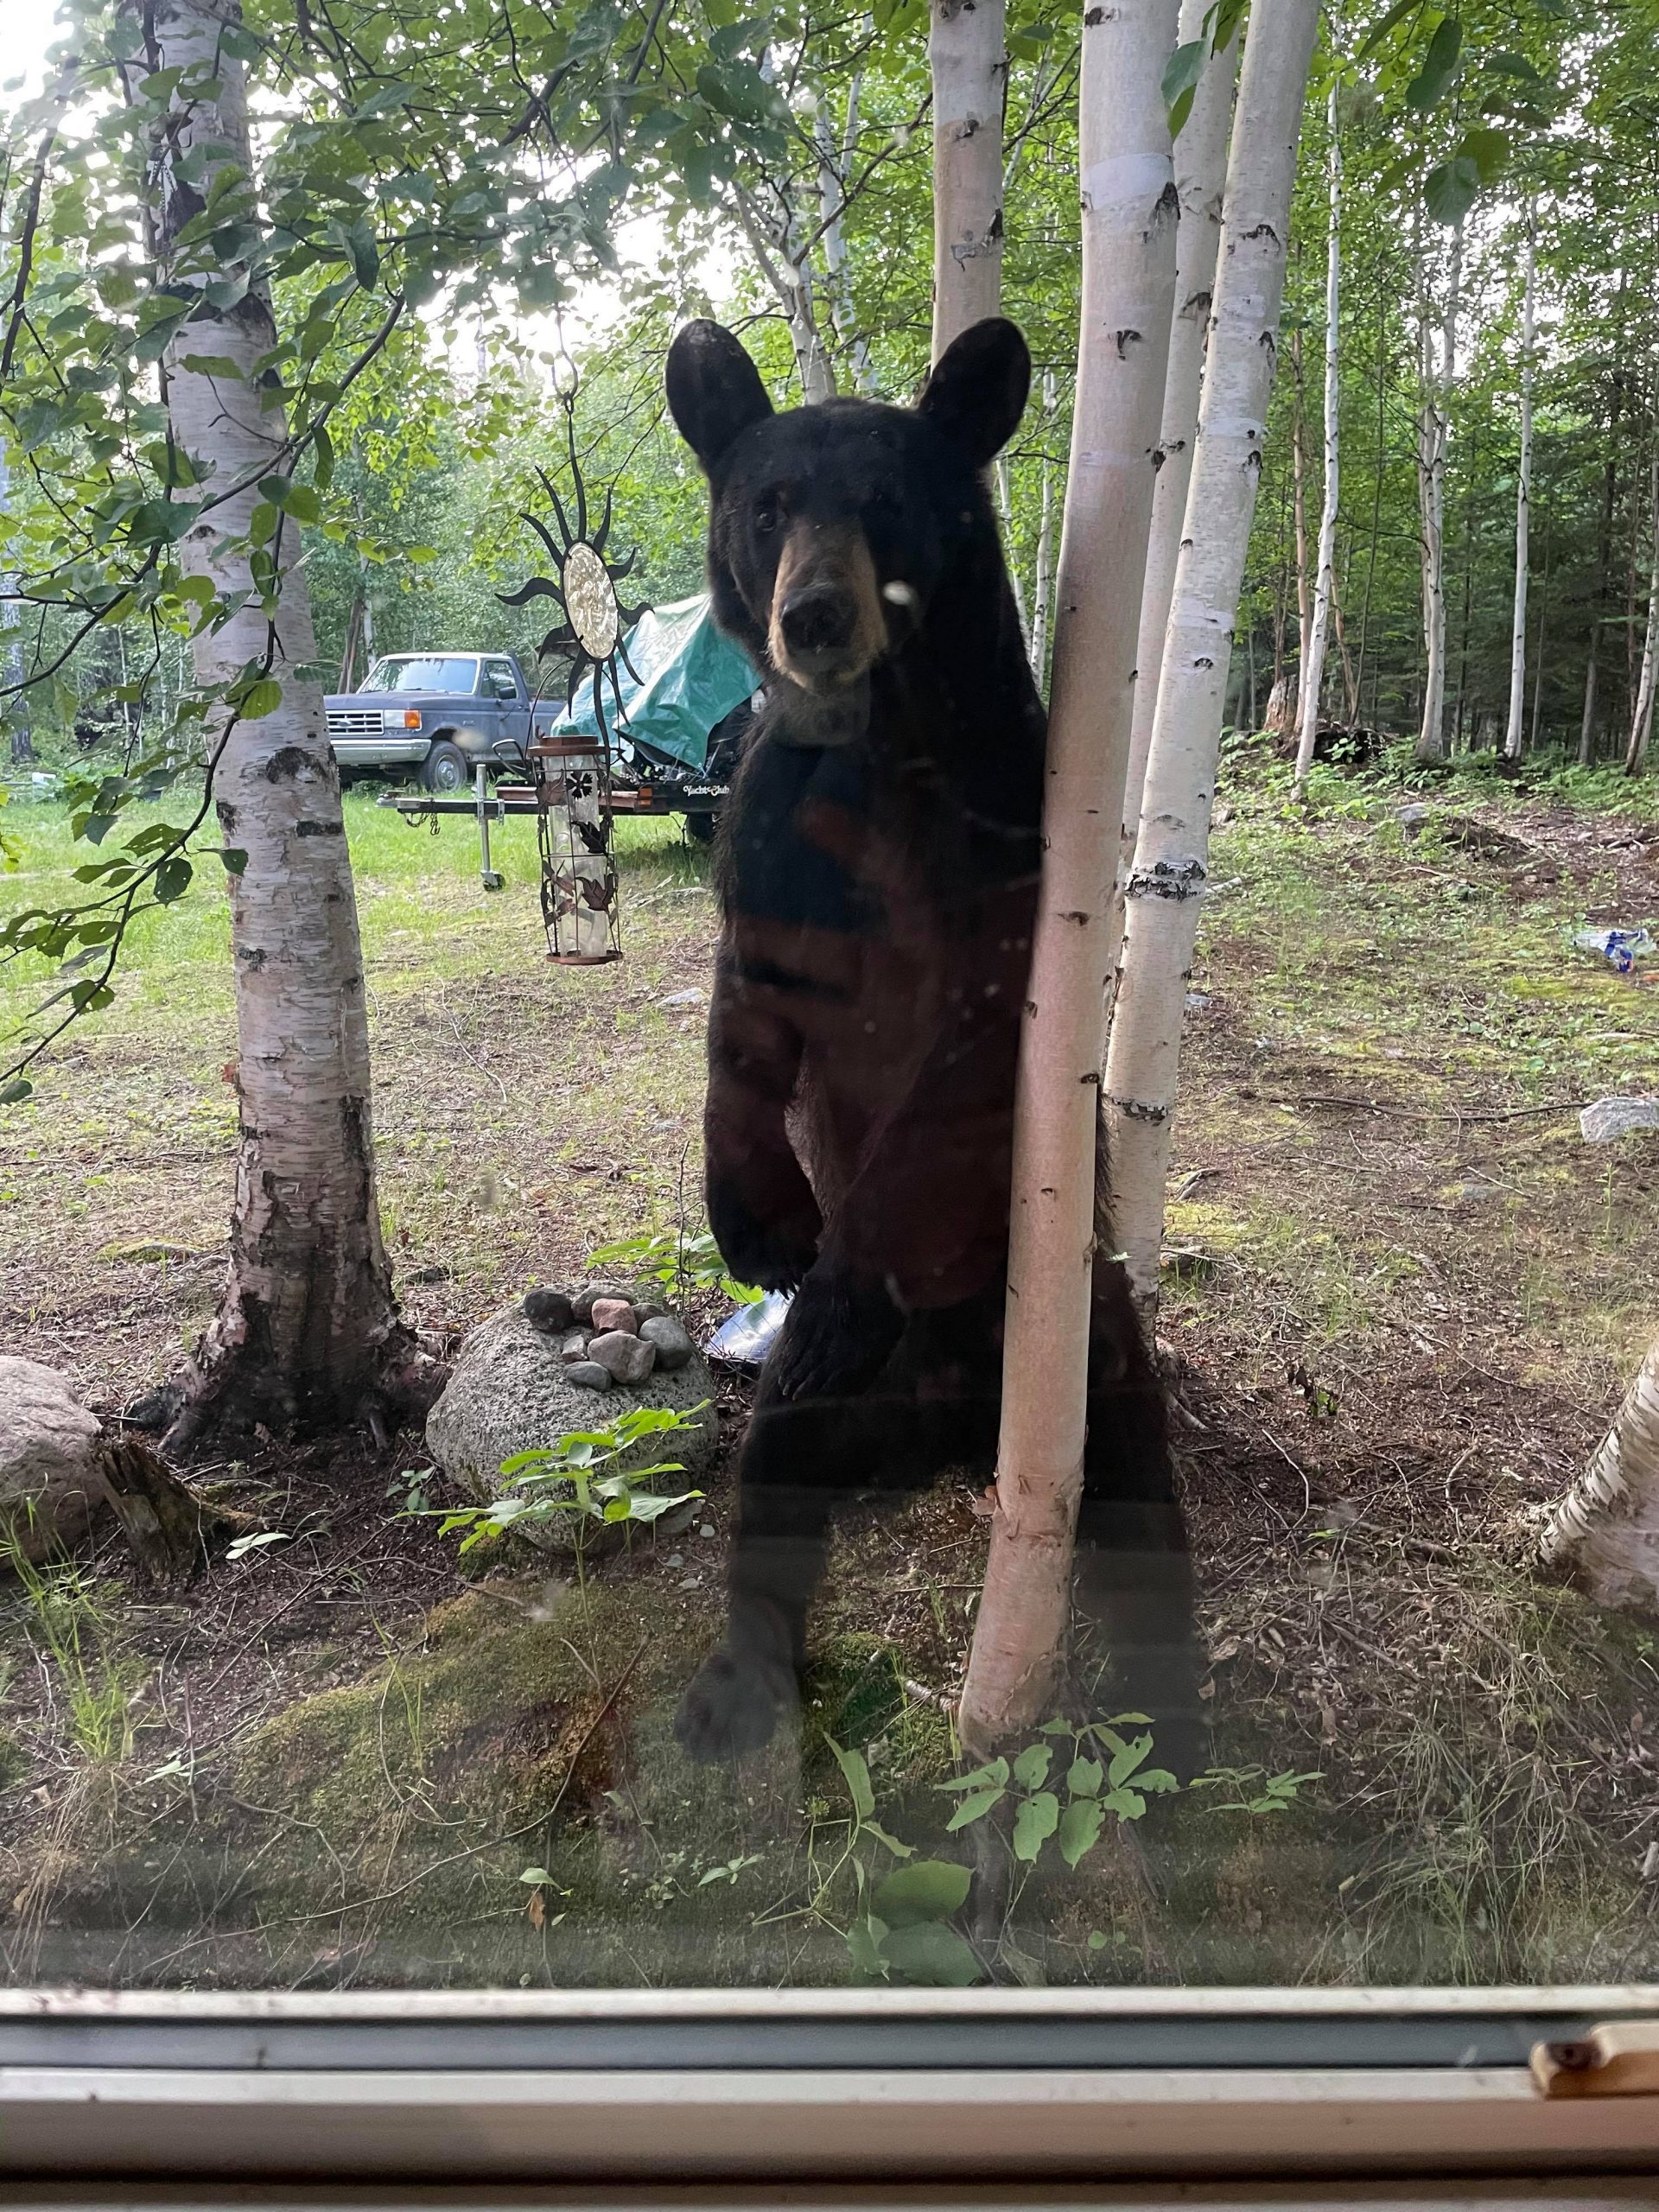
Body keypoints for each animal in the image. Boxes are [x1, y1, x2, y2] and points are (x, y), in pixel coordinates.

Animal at [665, 315, 1203, 1771]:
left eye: (887, 501)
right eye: (771, 501)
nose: (814, 614)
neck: (876, 753)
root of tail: (955, 1433)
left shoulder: (998, 847)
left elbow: (961, 1073)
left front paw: (838, 1282)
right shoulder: (775, 828)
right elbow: (747, 1012)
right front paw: (760, 1222)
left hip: (1092, 1355)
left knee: (1142, 1512)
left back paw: (1180, 1717)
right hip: (836, 1435)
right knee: (776, 1478)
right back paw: (740, 1682)